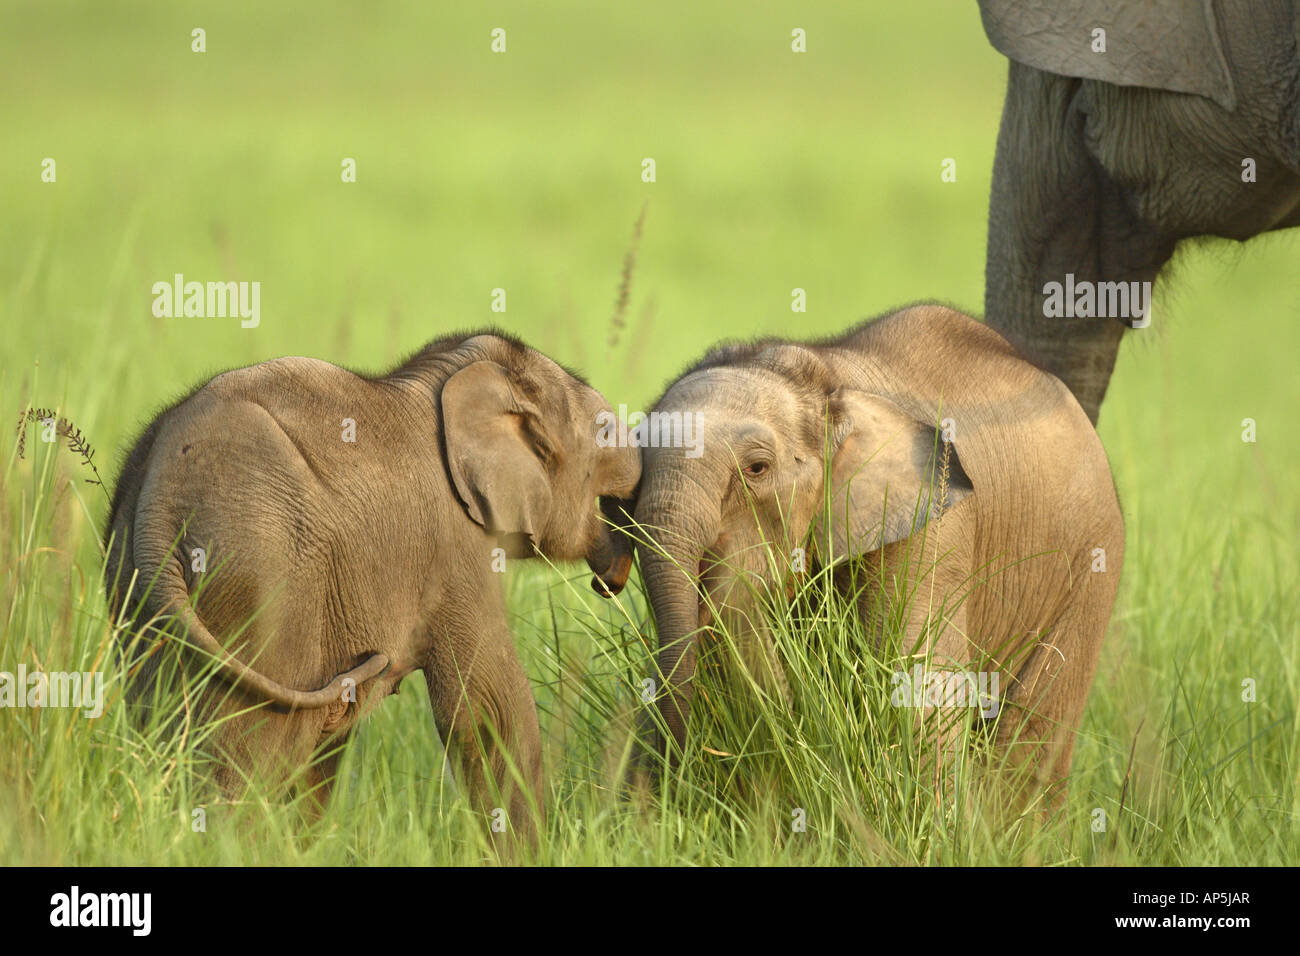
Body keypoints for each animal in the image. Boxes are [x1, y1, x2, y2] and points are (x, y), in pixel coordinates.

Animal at [103, 330, 640, 841]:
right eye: (604, 429)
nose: (609, 581)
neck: (451, 369)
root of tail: (161, 494)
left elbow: (327, 751)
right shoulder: (454, 546)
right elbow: (489, 710)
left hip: (138, 586)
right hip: (261, 575)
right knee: (249, 752)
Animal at [622, 304, 1124, 806]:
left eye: (757, 468)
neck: (826, 383)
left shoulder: (933, 534)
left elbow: (919, 692)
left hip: (1091, 561)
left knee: (1029, 734)